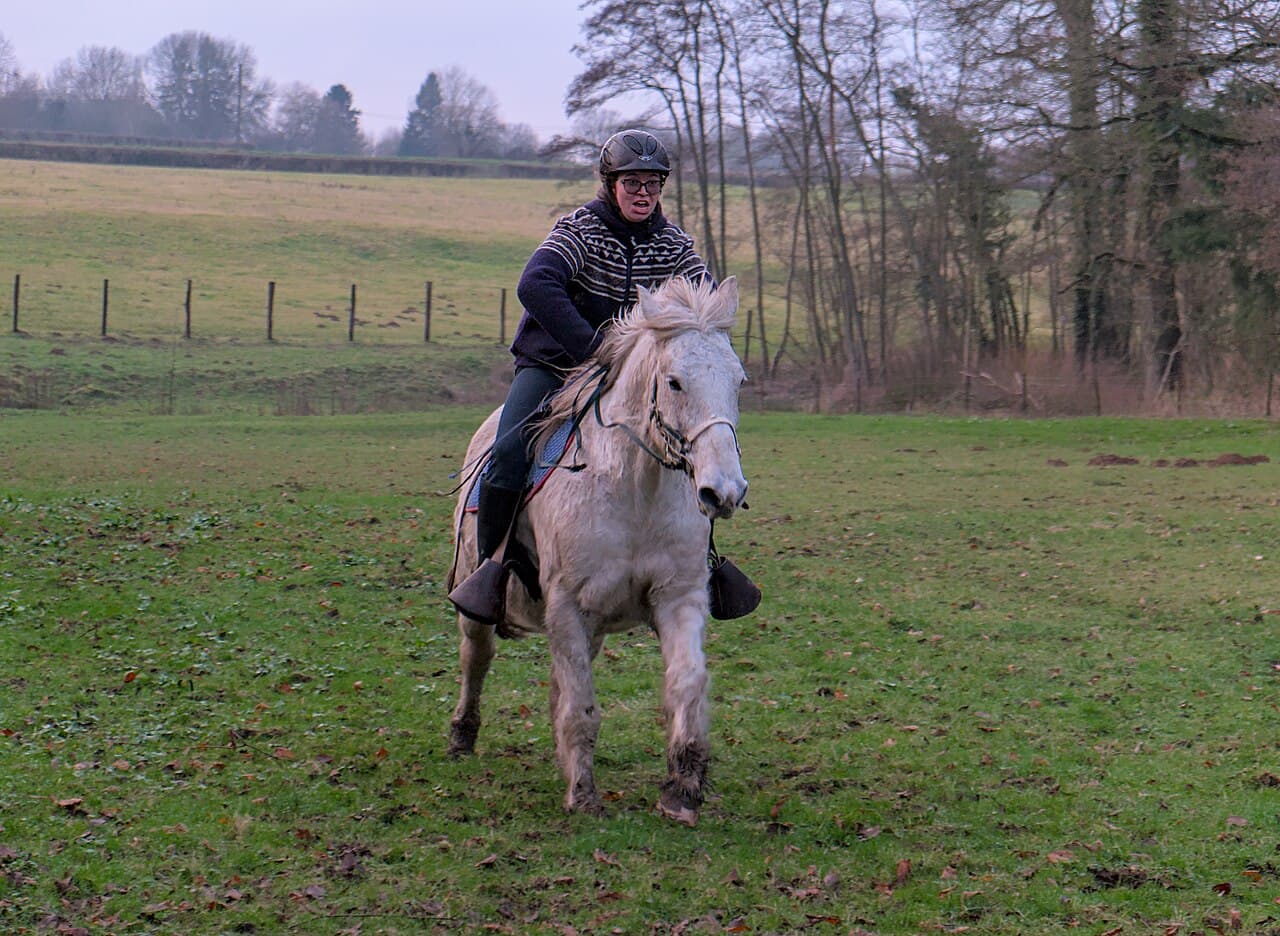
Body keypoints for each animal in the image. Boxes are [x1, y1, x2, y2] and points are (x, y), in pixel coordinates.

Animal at [446, 276, 749, 825]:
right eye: (674, 382)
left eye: (738, 380)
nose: (725, 492)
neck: (634, 486)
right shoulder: (568, 604)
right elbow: (581, 705)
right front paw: (583, 795)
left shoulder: (680, 597)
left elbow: (687, 683)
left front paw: (682, 788)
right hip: (475, 600)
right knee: (476, 658)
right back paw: (462, 737)